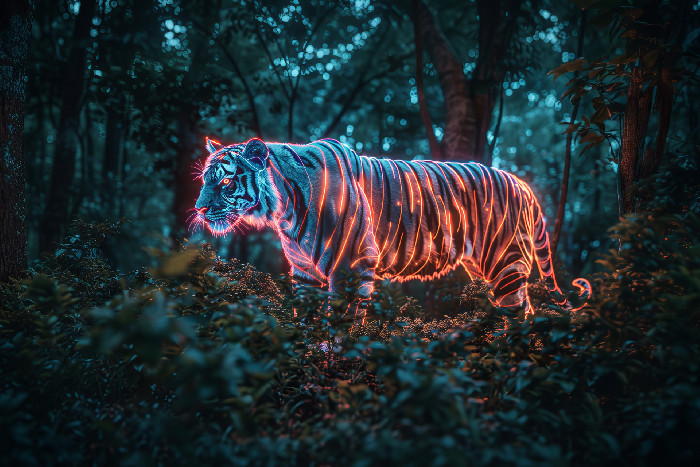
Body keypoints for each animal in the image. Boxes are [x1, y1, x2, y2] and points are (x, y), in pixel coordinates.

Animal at [192, 137, 591, 323]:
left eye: (226, 180)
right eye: (205, 180)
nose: (199, 208)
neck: (284, 210)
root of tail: (523, 184)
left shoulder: (351, 266)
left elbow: (342, 320)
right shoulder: (304, 274)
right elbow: (305, 320)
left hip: (506, 264)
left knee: (521, 313)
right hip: (488, 268)